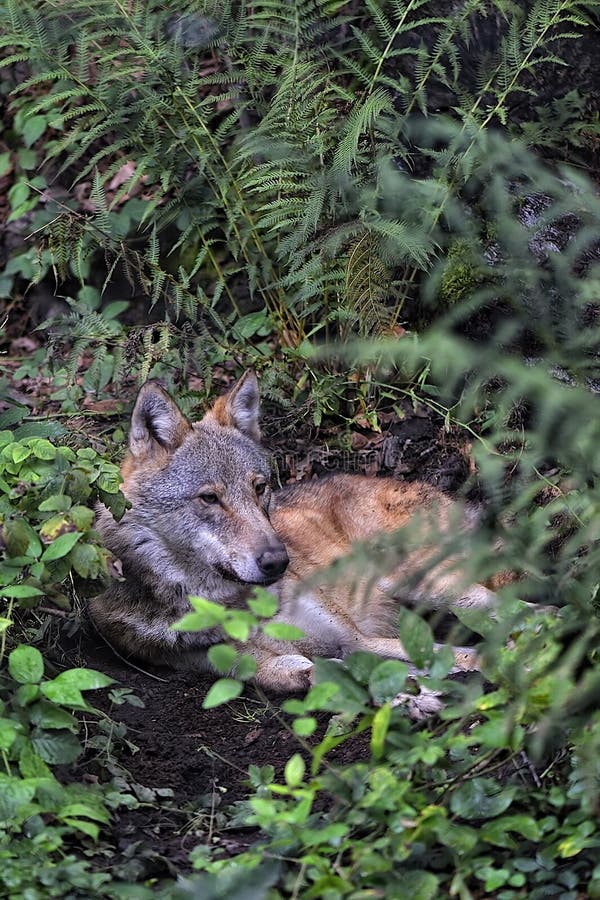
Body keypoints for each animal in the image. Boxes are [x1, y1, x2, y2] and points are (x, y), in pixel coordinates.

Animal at [90, 372, 501, 699]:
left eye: (259, 488)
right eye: (210, 498)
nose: (279, 561)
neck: (237, 607)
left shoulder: (355, 639)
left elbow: (457, 654)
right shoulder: (289, 664)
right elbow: (328, 673)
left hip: (436, 585)